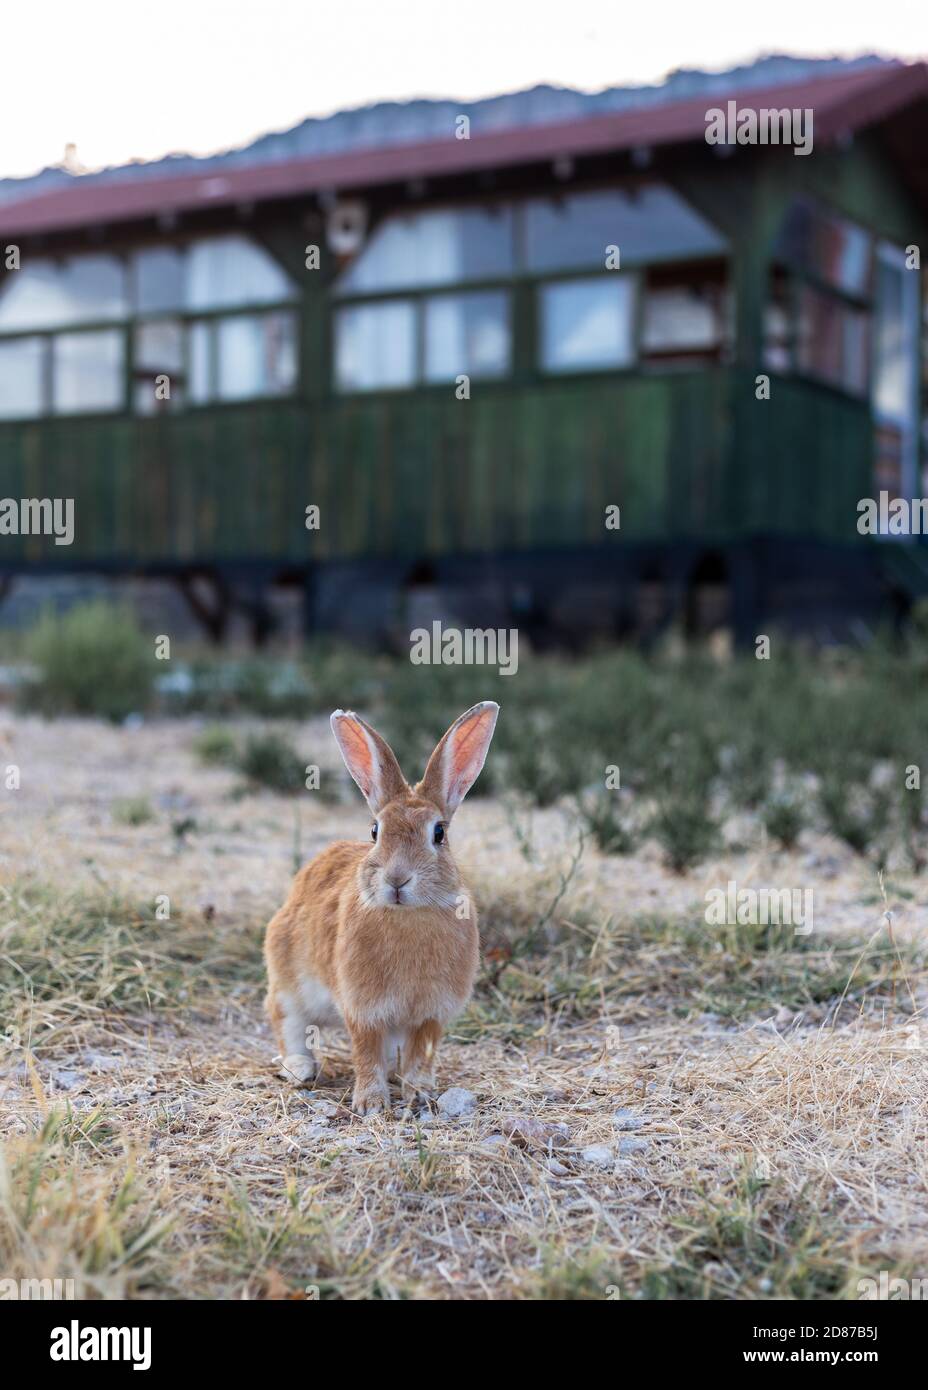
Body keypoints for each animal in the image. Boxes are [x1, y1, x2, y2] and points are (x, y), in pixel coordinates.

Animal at [264, 700, 499, 1115]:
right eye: (375, 831)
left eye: (439, 833)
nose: (397, 880)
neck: (408, 917)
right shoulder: (363, 1009)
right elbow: (366, 1053)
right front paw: (372, 1104)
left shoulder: (430, 1014)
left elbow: (420, 1055)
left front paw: (419, 1094)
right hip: (288, 982)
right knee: (287, 1024)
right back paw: (301, 1070)